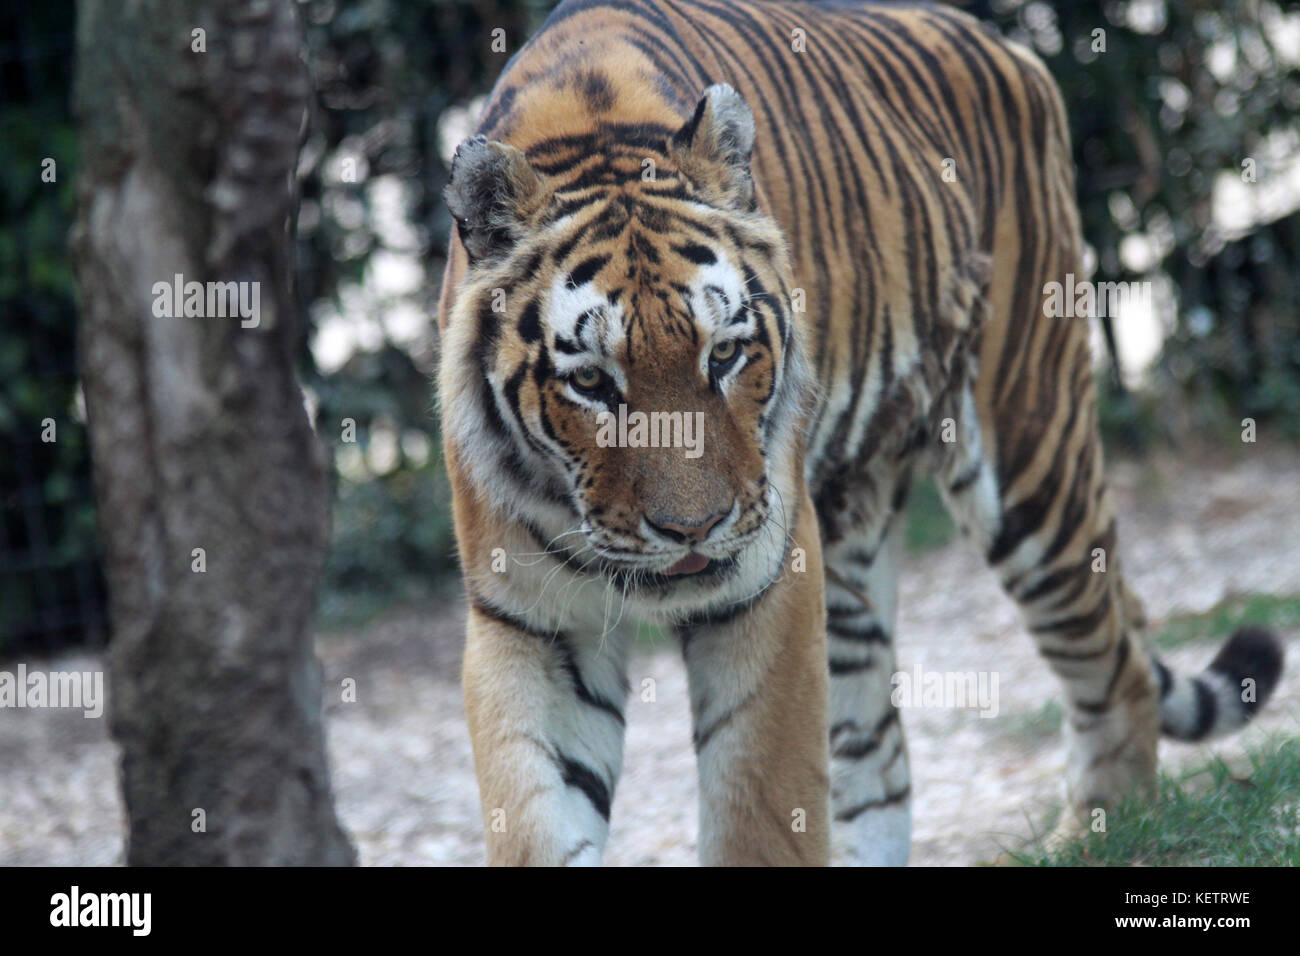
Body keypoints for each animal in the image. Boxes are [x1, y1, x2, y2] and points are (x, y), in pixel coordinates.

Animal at [436, 0, 1284, 866]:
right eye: (593, 384)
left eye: (724, 354)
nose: (693, 530)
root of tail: (1005, 45)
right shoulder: (531, 621)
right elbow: (537, 816)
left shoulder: (766, 584)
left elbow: (762, 813)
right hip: (851, 538)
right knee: (879, 746)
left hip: (1029, 453)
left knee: (1113, 656)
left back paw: (1096, 830)